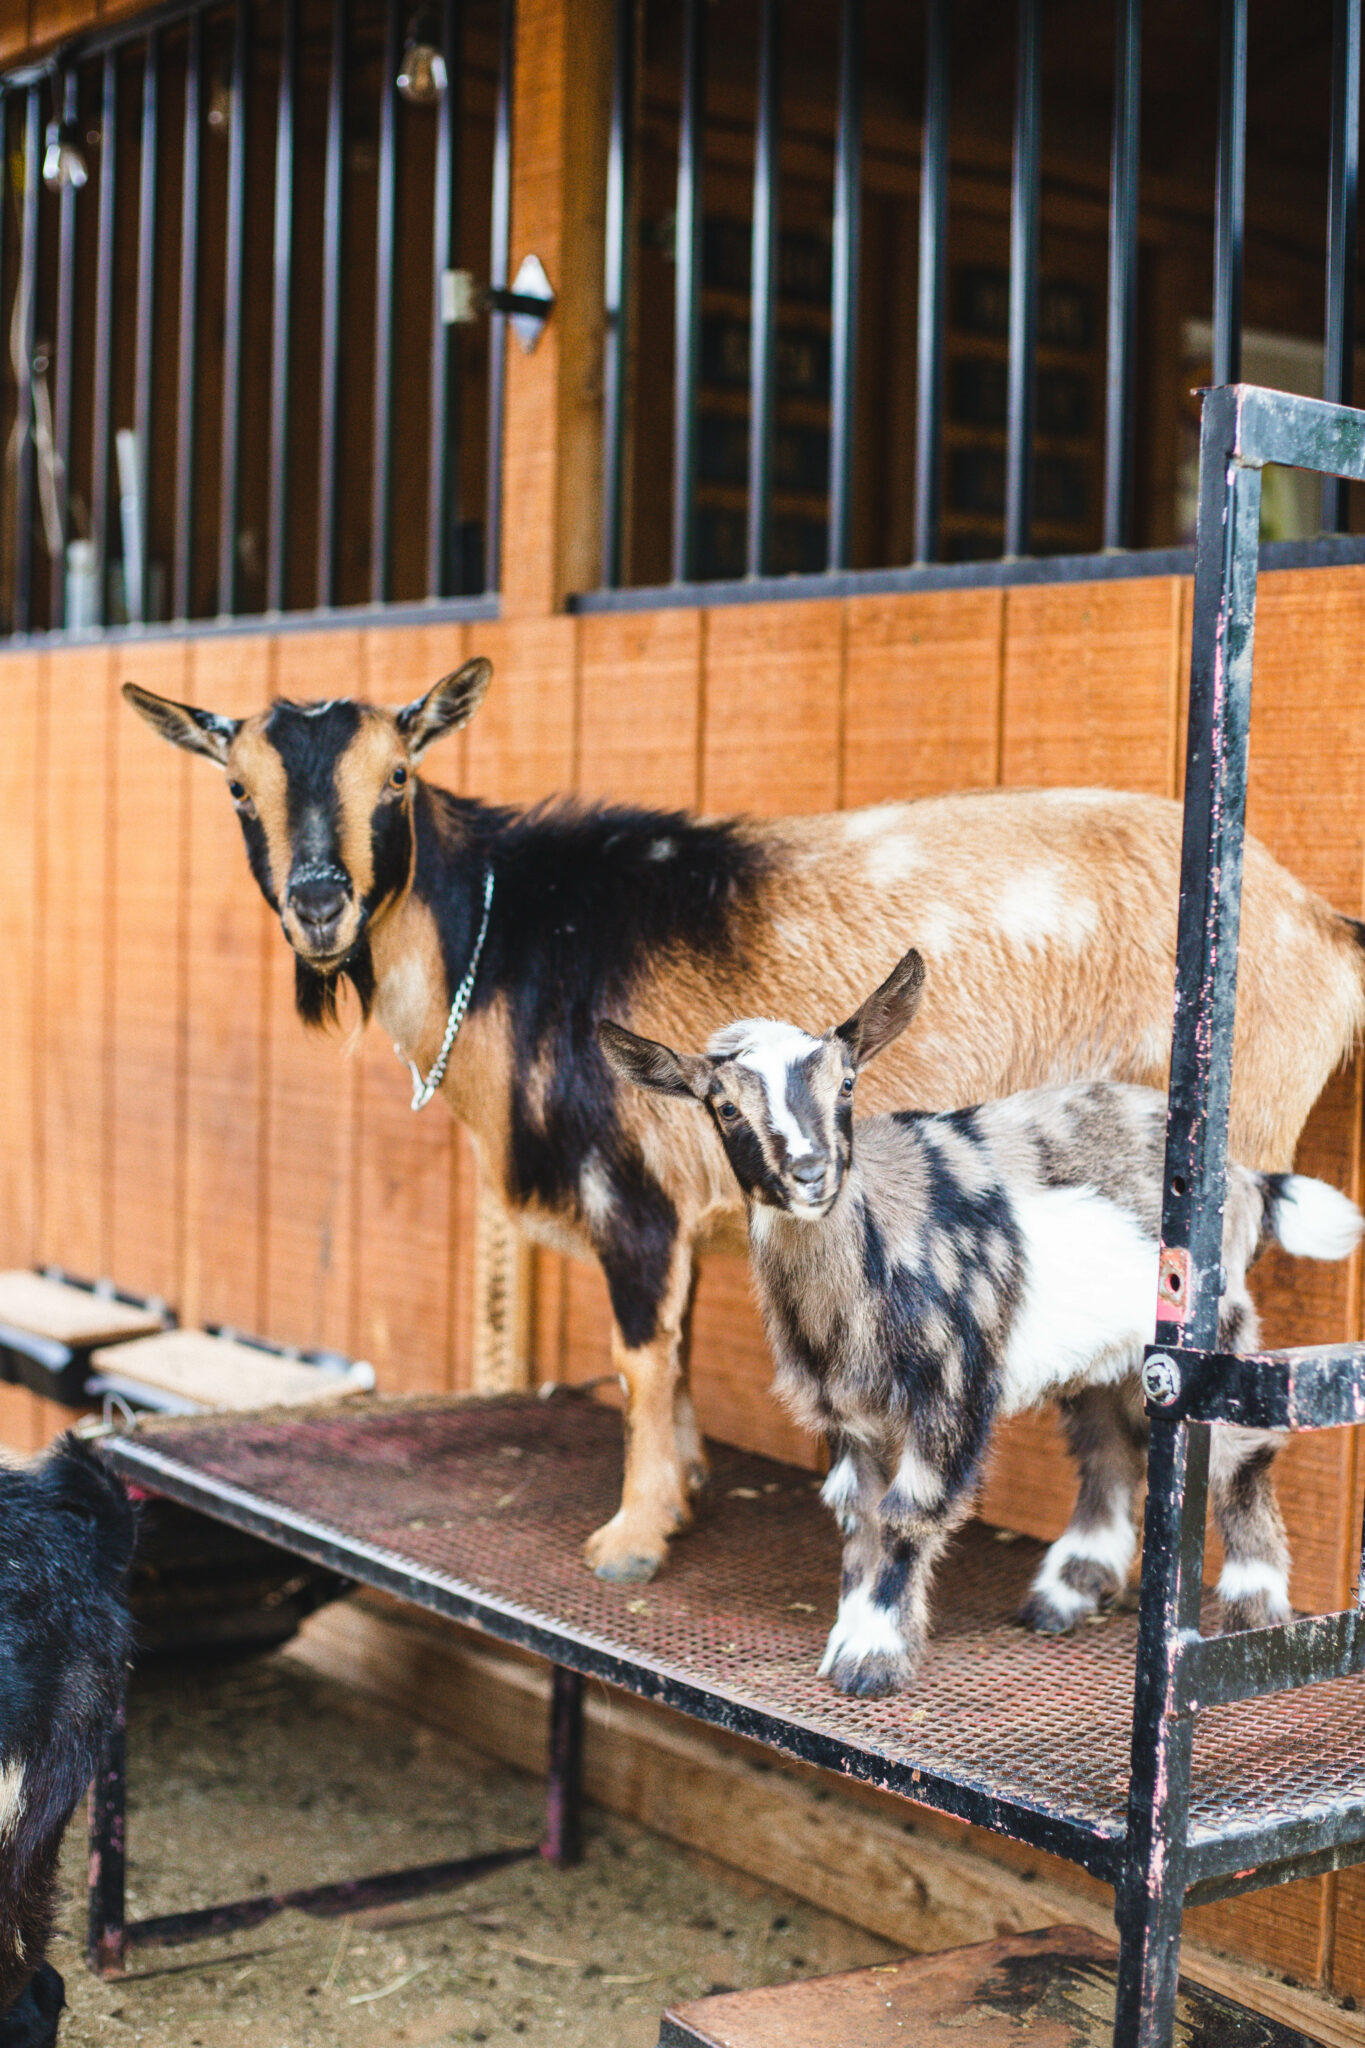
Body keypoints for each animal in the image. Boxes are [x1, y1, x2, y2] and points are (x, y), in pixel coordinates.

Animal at [124, 662, 1365, 1583]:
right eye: (238, 790)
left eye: (396, 774)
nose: (319, 901)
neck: (514, 938)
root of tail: (1320, 927)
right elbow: (669, 1359)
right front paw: (682, 1492)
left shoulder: (630, 1191)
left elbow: (636, 1356)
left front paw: (630, 1539)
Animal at [600, 951, 1365, 1696]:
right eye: (724, 1106)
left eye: (846, 1083)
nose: (811, 1172)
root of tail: (1246, 1181)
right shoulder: (846, 1408)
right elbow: (857, 1515)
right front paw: (849, 1634)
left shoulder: (952, 1384)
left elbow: (907, 1512)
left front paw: (873, 1657)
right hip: (1108, 1357)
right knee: (1107, 1447)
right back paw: (1066, 1592)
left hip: (1215, 1330)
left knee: (1239, 1455)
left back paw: (1251, 1610)